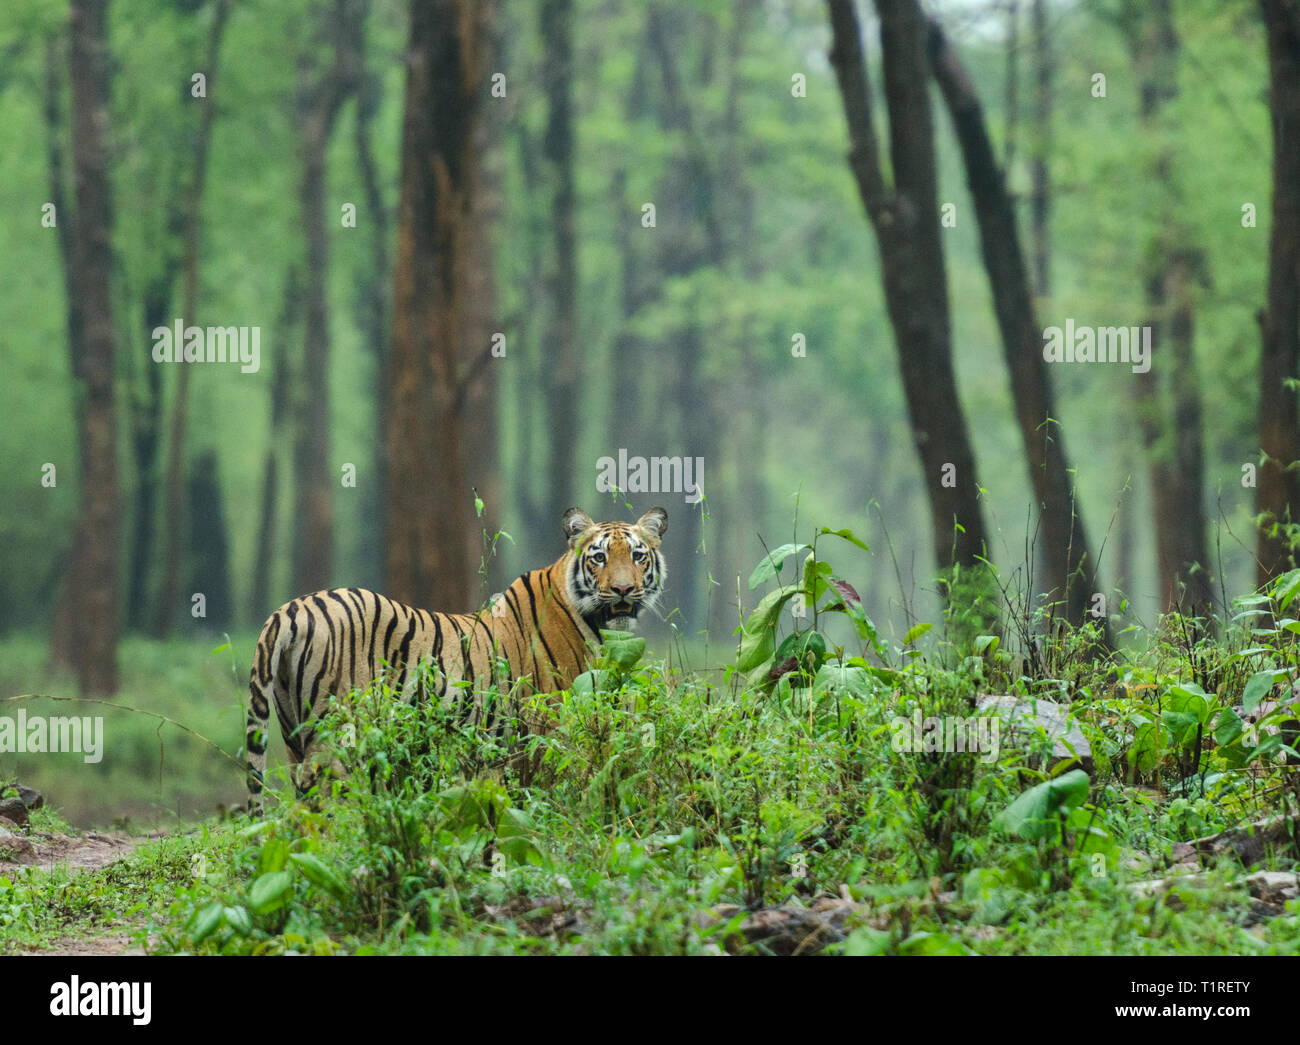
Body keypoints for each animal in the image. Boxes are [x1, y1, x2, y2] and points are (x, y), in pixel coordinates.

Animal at [245, 506, 667, 814]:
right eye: (598, 557)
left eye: (637, 556)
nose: (623, 590)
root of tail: (290, 609)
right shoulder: (550, 730)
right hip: (336, 740)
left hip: (295, 735)